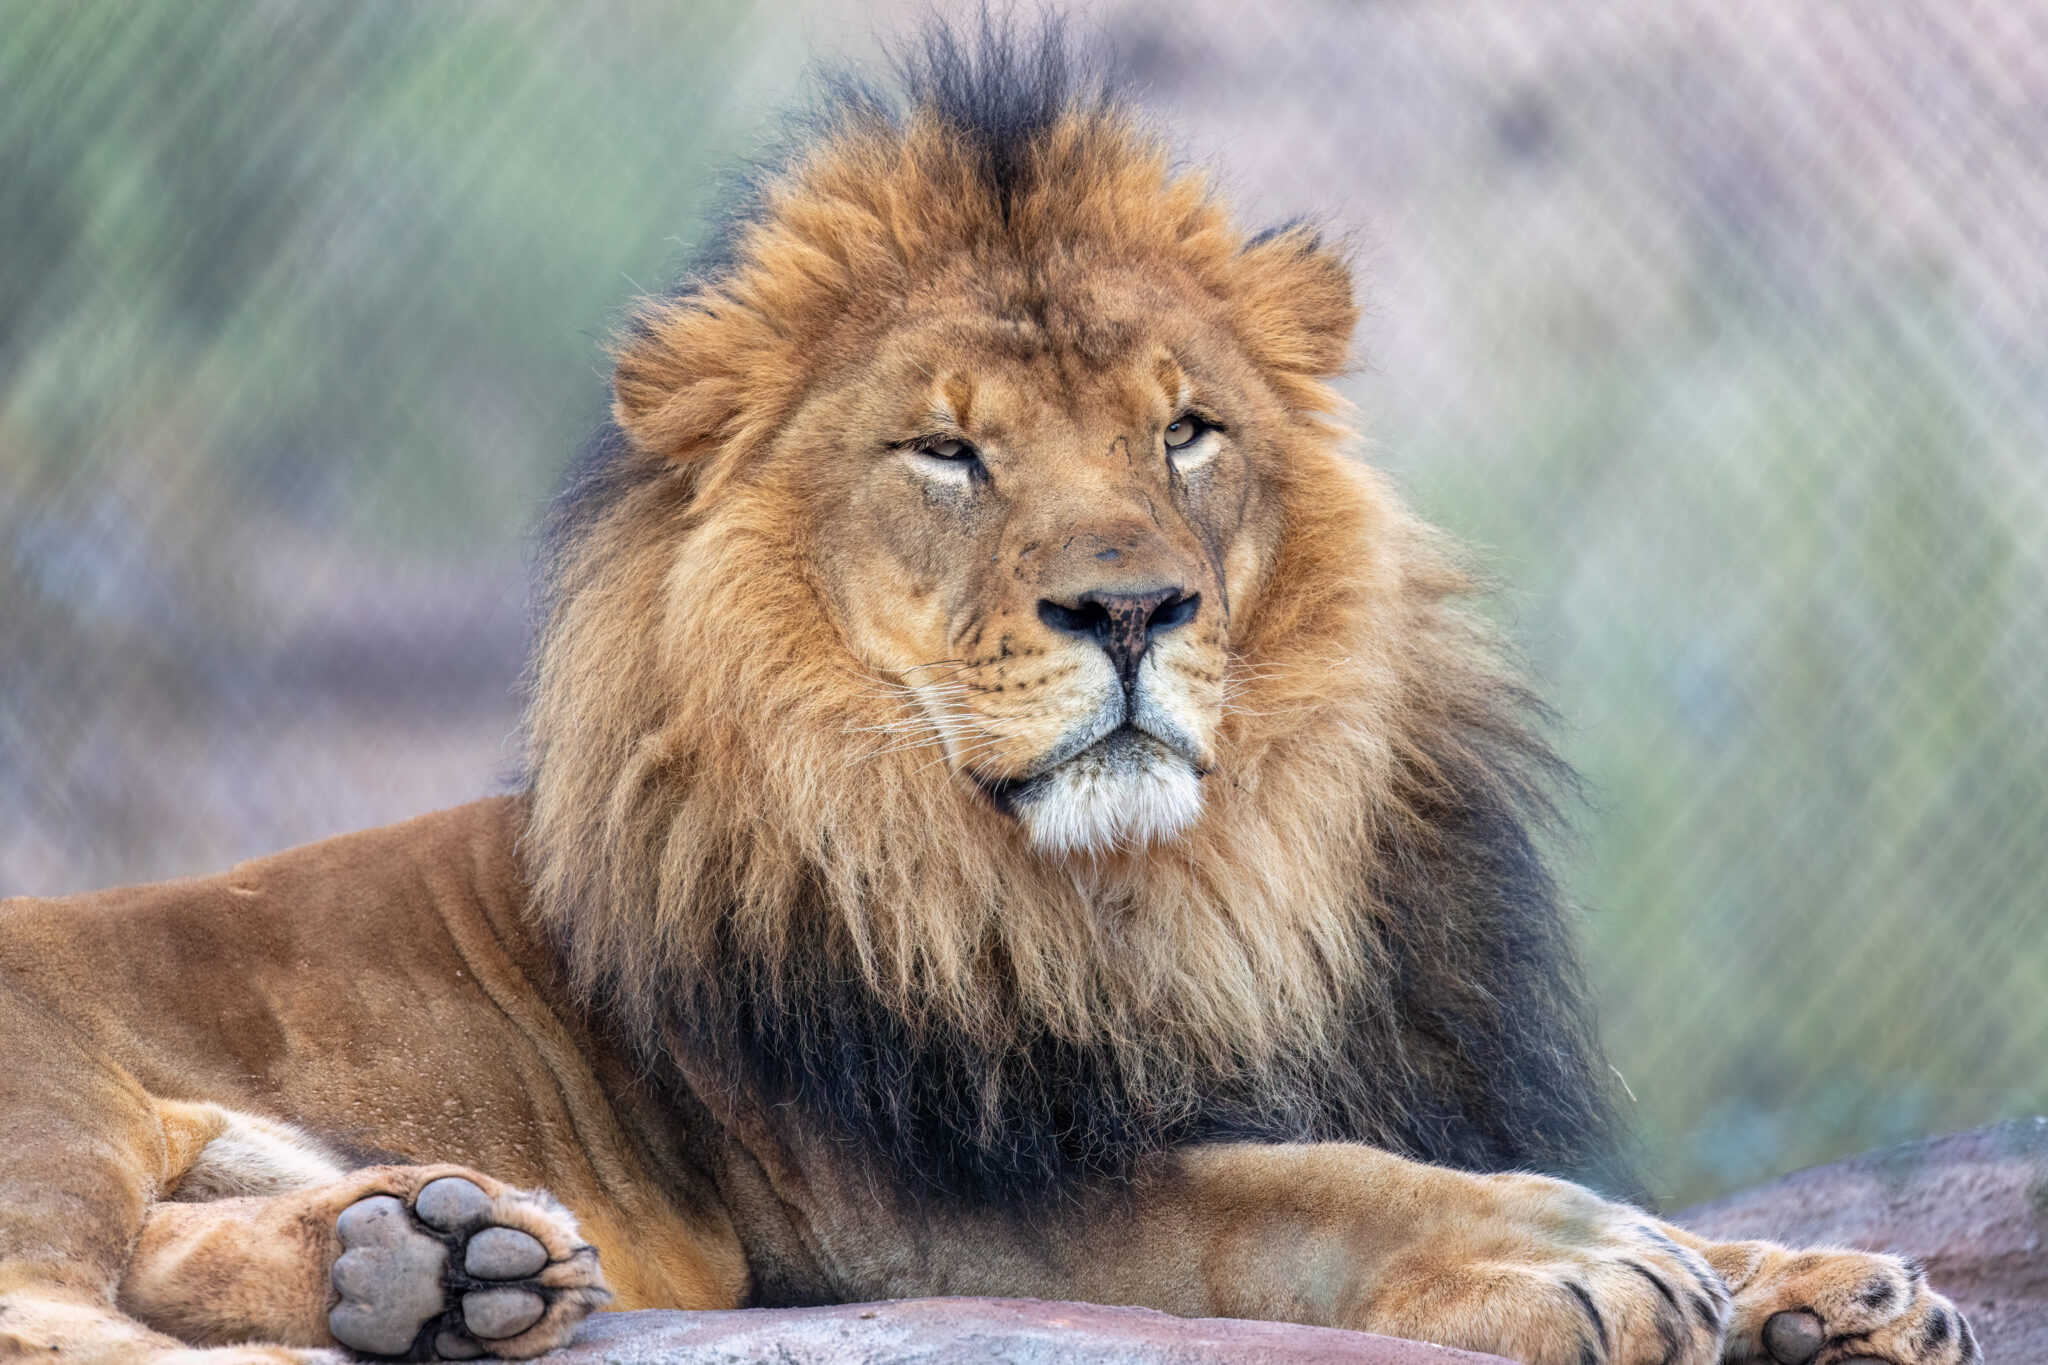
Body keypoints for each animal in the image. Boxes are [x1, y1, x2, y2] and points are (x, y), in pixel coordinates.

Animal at [0, 21, 1978, 1365]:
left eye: (1185, 430)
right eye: (946, 451)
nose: (1132, 607)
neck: (1175, 898)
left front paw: (1823, 1288)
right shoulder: (924, 1209)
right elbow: (1297, 1191)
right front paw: (1567, 1260)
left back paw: (423, 1259)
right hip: (58, 1115)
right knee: (64, 1301)